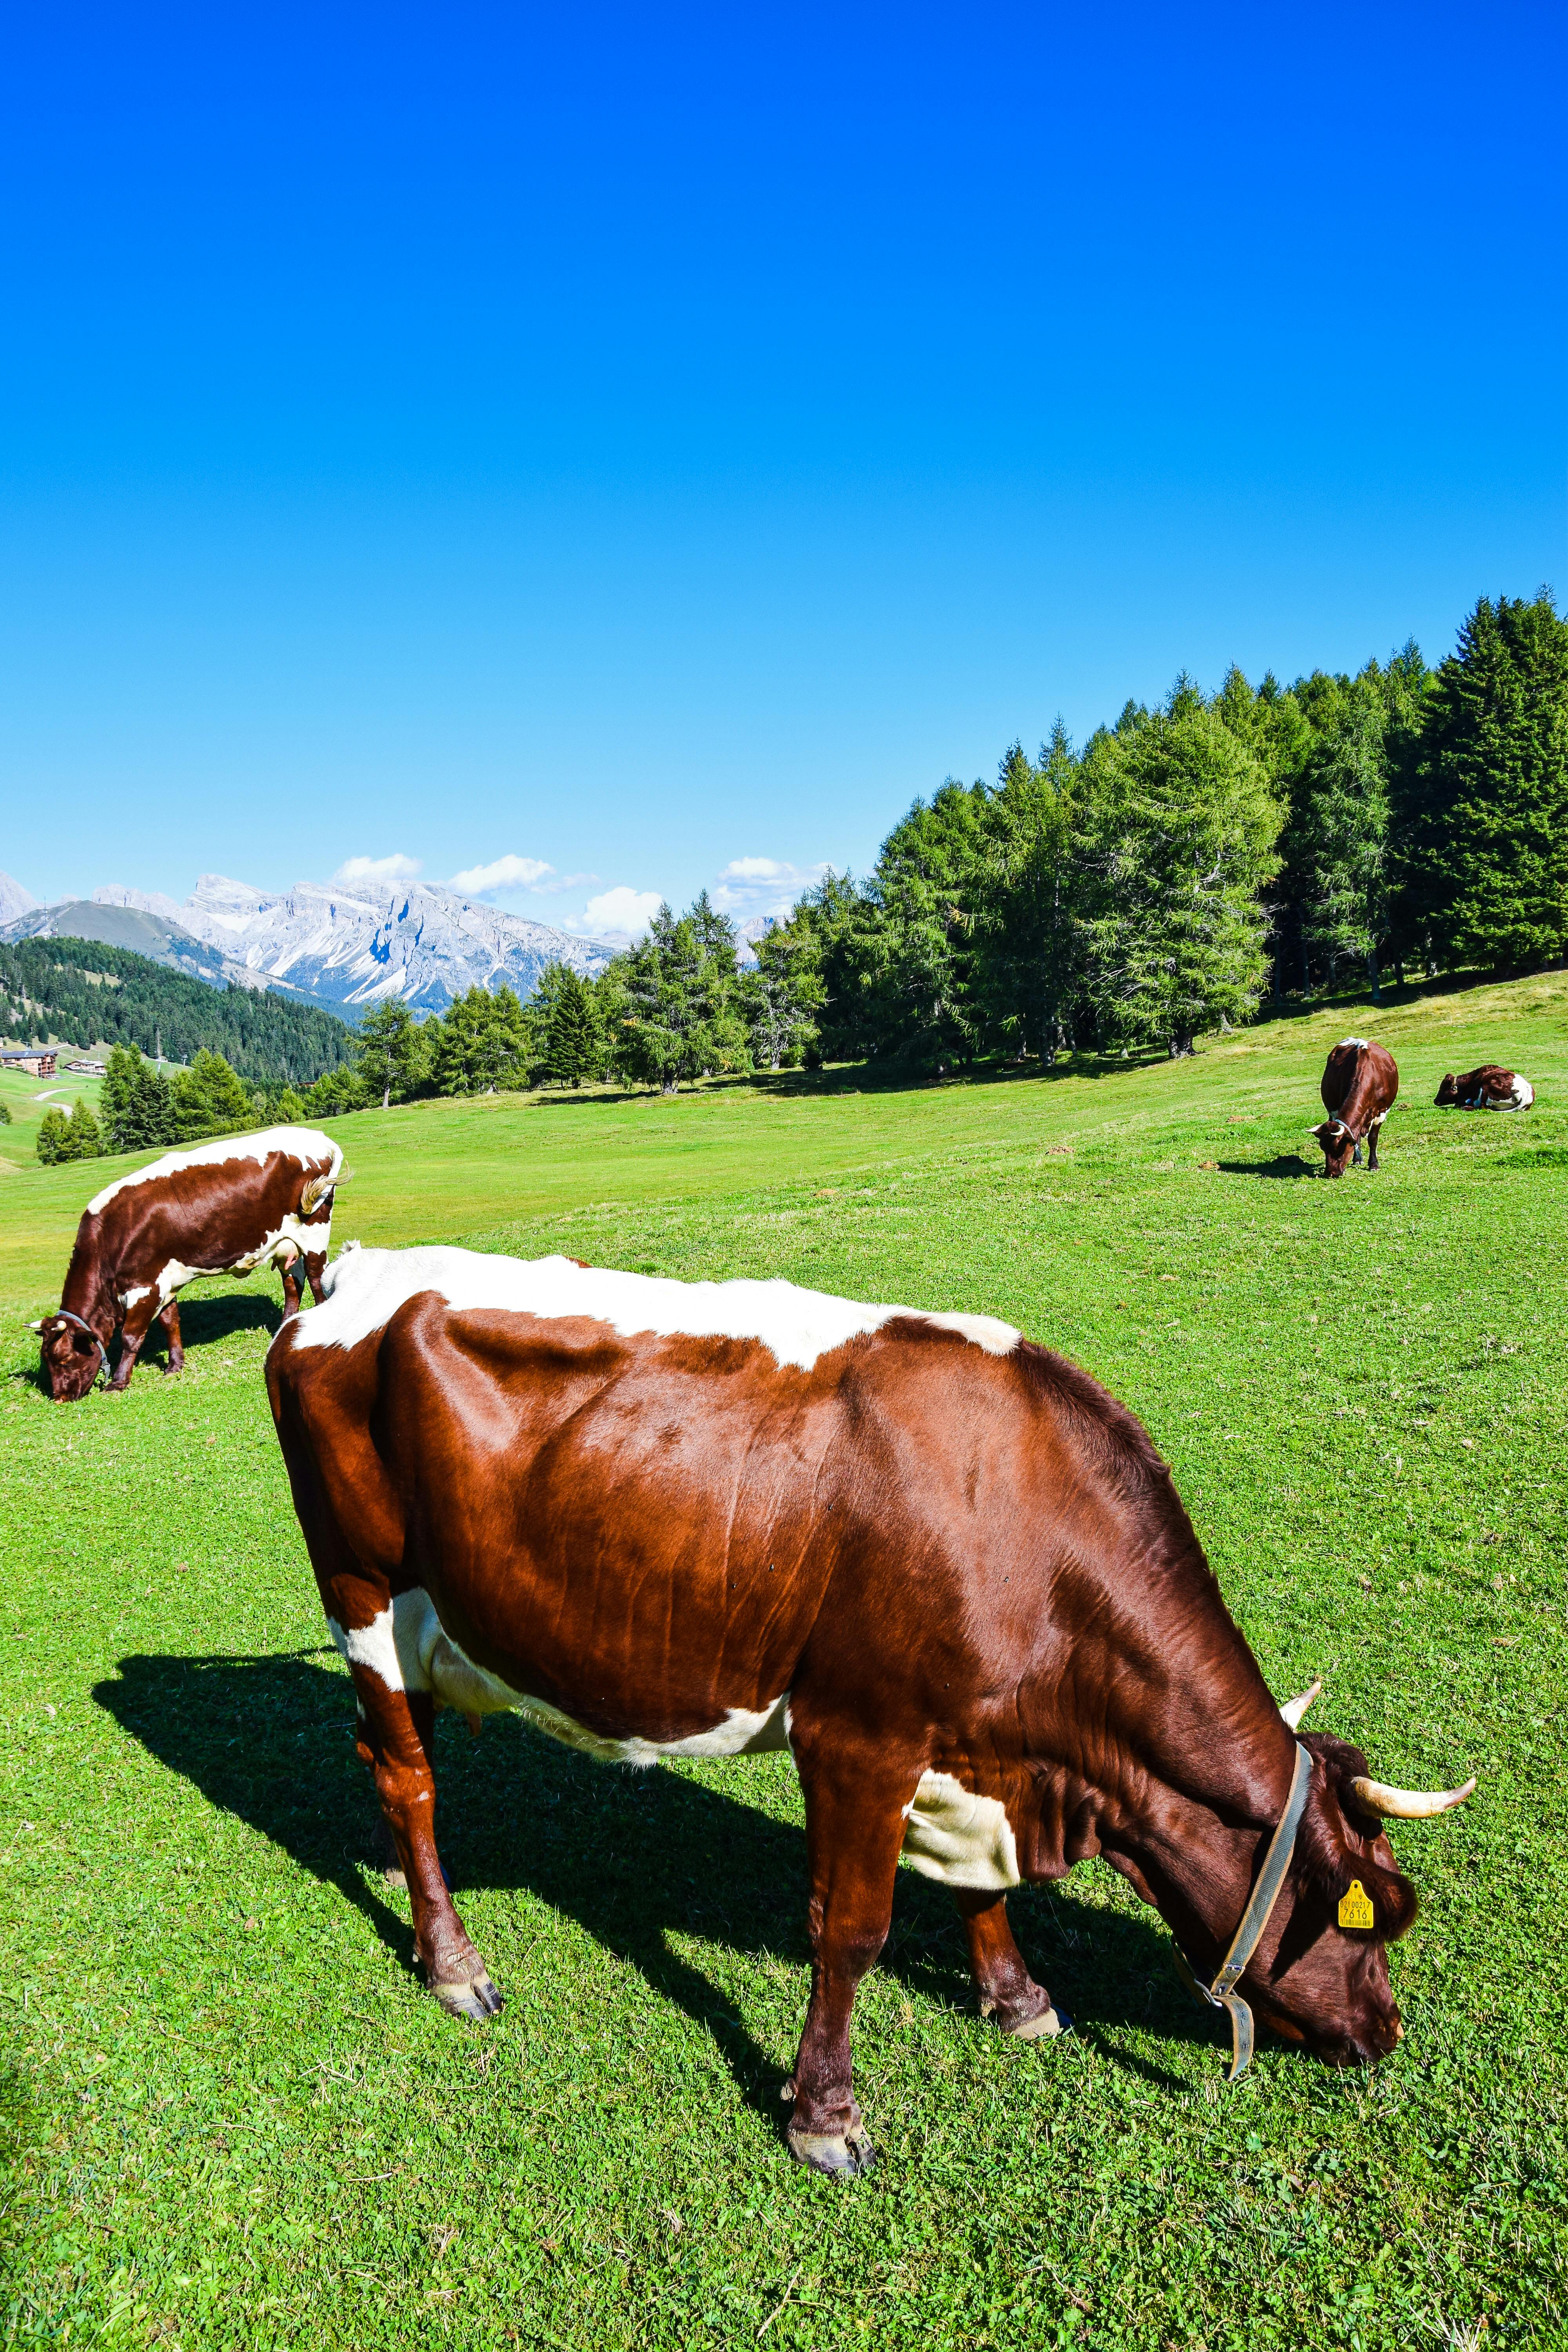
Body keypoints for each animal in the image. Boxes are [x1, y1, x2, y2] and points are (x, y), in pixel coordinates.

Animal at [36, 1125, 345, 1401]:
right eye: (45, 1358)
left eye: (63, 1357)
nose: (60, 1398)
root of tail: (319, 1137)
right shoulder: (165, 1282)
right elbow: (171, 1323)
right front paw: (174, 1366)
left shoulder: (144, 1287)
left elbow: (131, 1337)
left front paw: (118, 1383)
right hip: (284, 1243)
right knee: (293, 1284)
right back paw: (282, 1328)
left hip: (315, 1230)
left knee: (316, 1278)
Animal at [266, 1244, 1474, 2175]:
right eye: (1374, 1914)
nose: (1383, 2031)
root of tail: (352, 1275)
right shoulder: (856, 1735)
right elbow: (849, 1932)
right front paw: (824, 2119)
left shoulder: (970, 1751)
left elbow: (978, 1891)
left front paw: (1016, 1998)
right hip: (361, 1590)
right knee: (408, 1779)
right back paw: (453, 1963)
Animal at [1309, 1038, 1399, 1178]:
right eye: (1323, 1148)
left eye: (1339, 1148)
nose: (1331, 1173)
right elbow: (1355, 1138)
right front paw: (1358, 1160)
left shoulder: (1382, 1112)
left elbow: (1373, 1139)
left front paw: (1374, 1165)